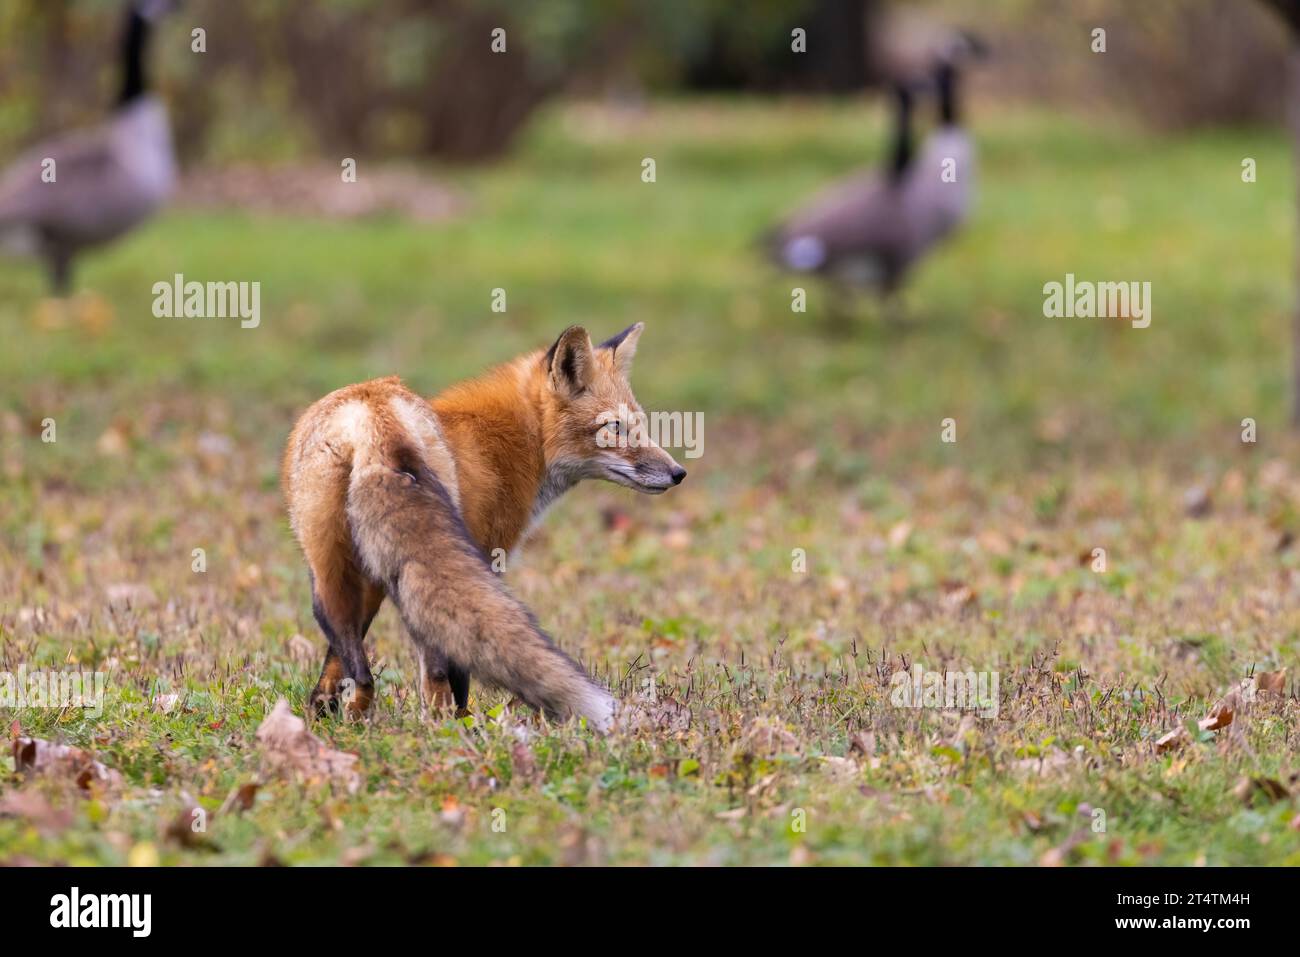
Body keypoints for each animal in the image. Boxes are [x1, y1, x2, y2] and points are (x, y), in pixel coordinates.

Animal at [281, 323, 685, 732]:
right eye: (614, 427)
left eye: (640, 426)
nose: (678, 473)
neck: (516, 442)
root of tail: (373, 414)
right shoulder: (487, 553)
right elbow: (459, 671)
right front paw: (462, 719)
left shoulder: (378, 573)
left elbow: (336, 660)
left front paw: (330, 713)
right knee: (435, 662)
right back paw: (447, 727)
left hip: (330, 566)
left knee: (354, 658)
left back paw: (340, 718)